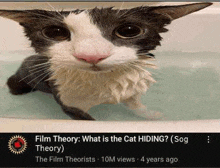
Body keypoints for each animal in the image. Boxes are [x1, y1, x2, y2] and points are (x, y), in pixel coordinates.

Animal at [0, 2, 213, 121]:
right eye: (55, 32)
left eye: (129, 30)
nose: (92, 55)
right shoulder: (70, 104)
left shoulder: (130, 90)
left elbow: (136, 105)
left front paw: (151, 115)